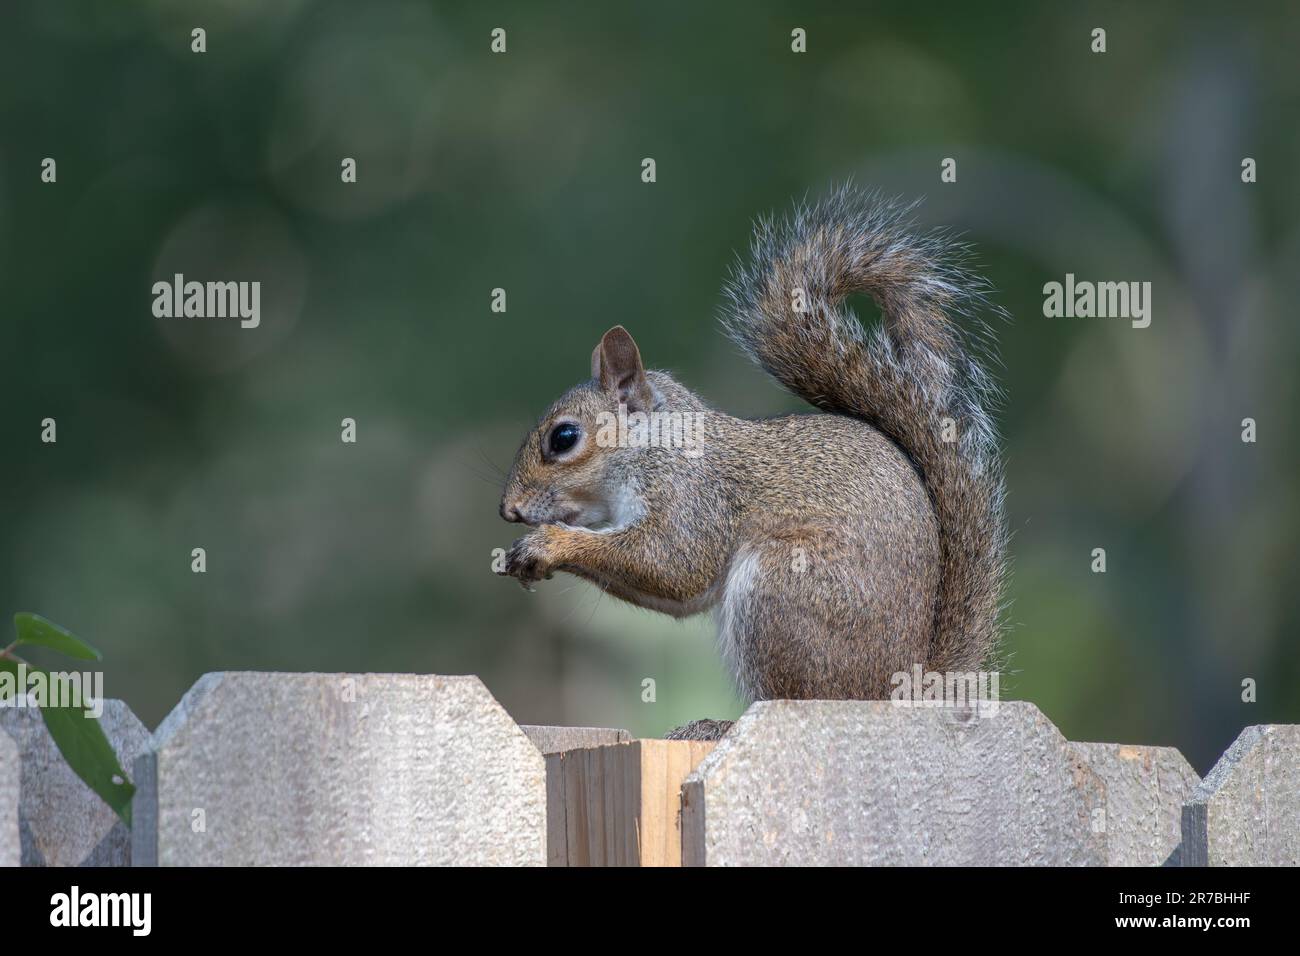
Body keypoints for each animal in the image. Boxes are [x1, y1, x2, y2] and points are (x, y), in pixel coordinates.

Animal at [498, 186, 1007, 739]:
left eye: (564, 438)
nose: (508, 509)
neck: (658, 444)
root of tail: (905, 691)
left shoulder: (693, 495)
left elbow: (675, 563)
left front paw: (549, 545)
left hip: (782, 590)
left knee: (797, 704)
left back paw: (721, 726)